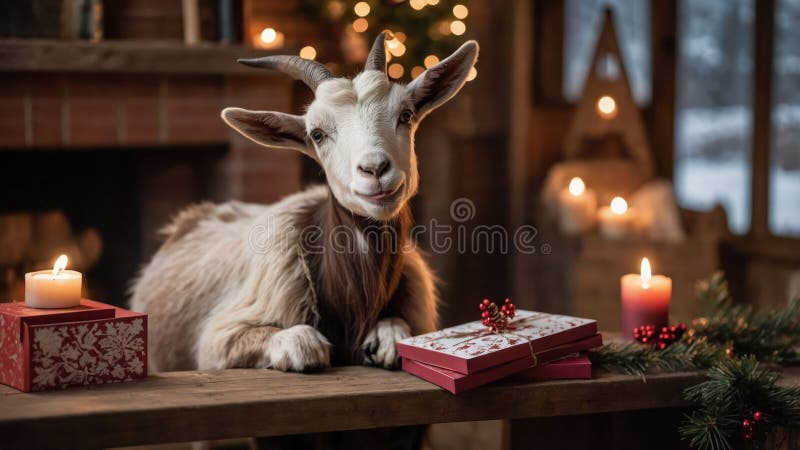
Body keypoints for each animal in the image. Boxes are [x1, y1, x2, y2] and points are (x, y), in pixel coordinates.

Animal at [130, 33, 479, 372]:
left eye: (405, 115)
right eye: (317, 134)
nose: (375, 169)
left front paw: (388, 338)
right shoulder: (219, 337)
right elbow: (301, 343)